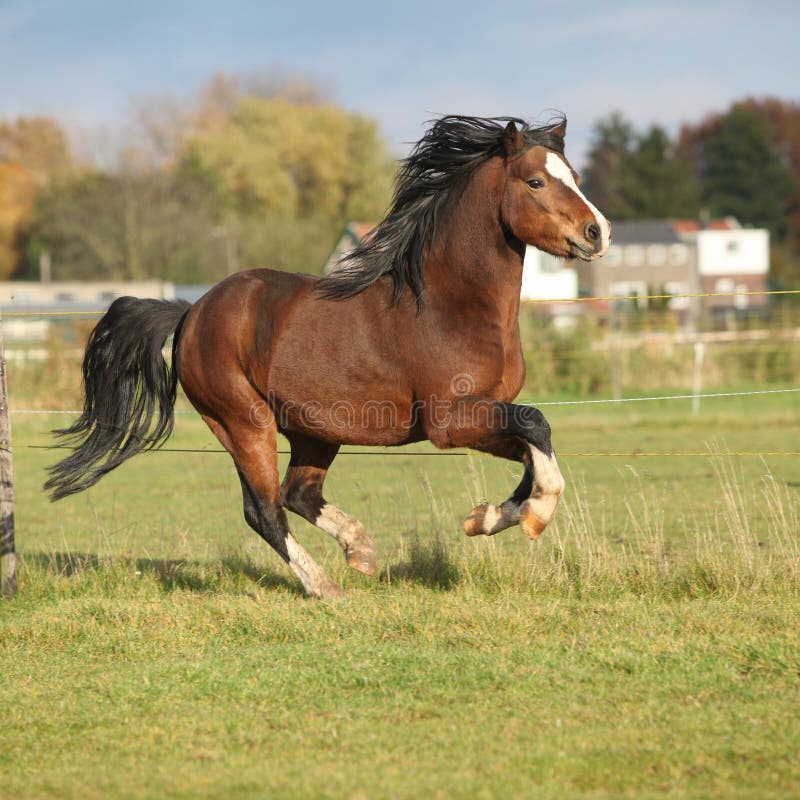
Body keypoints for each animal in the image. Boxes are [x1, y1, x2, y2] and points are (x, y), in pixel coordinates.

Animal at [46, 114, 610, 599]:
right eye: (536, 182)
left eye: (577, 176)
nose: (598, 233)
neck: (450, 303)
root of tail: (191, 312)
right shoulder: (450, 422)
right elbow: (537, 428)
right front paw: (533, 516)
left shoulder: (485, 415)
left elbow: (532, 452)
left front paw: (485, 518)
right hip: (241, 420)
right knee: (264, 508)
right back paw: (325, 586)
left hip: (316, 429)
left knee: (298, 493)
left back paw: (359, 550)